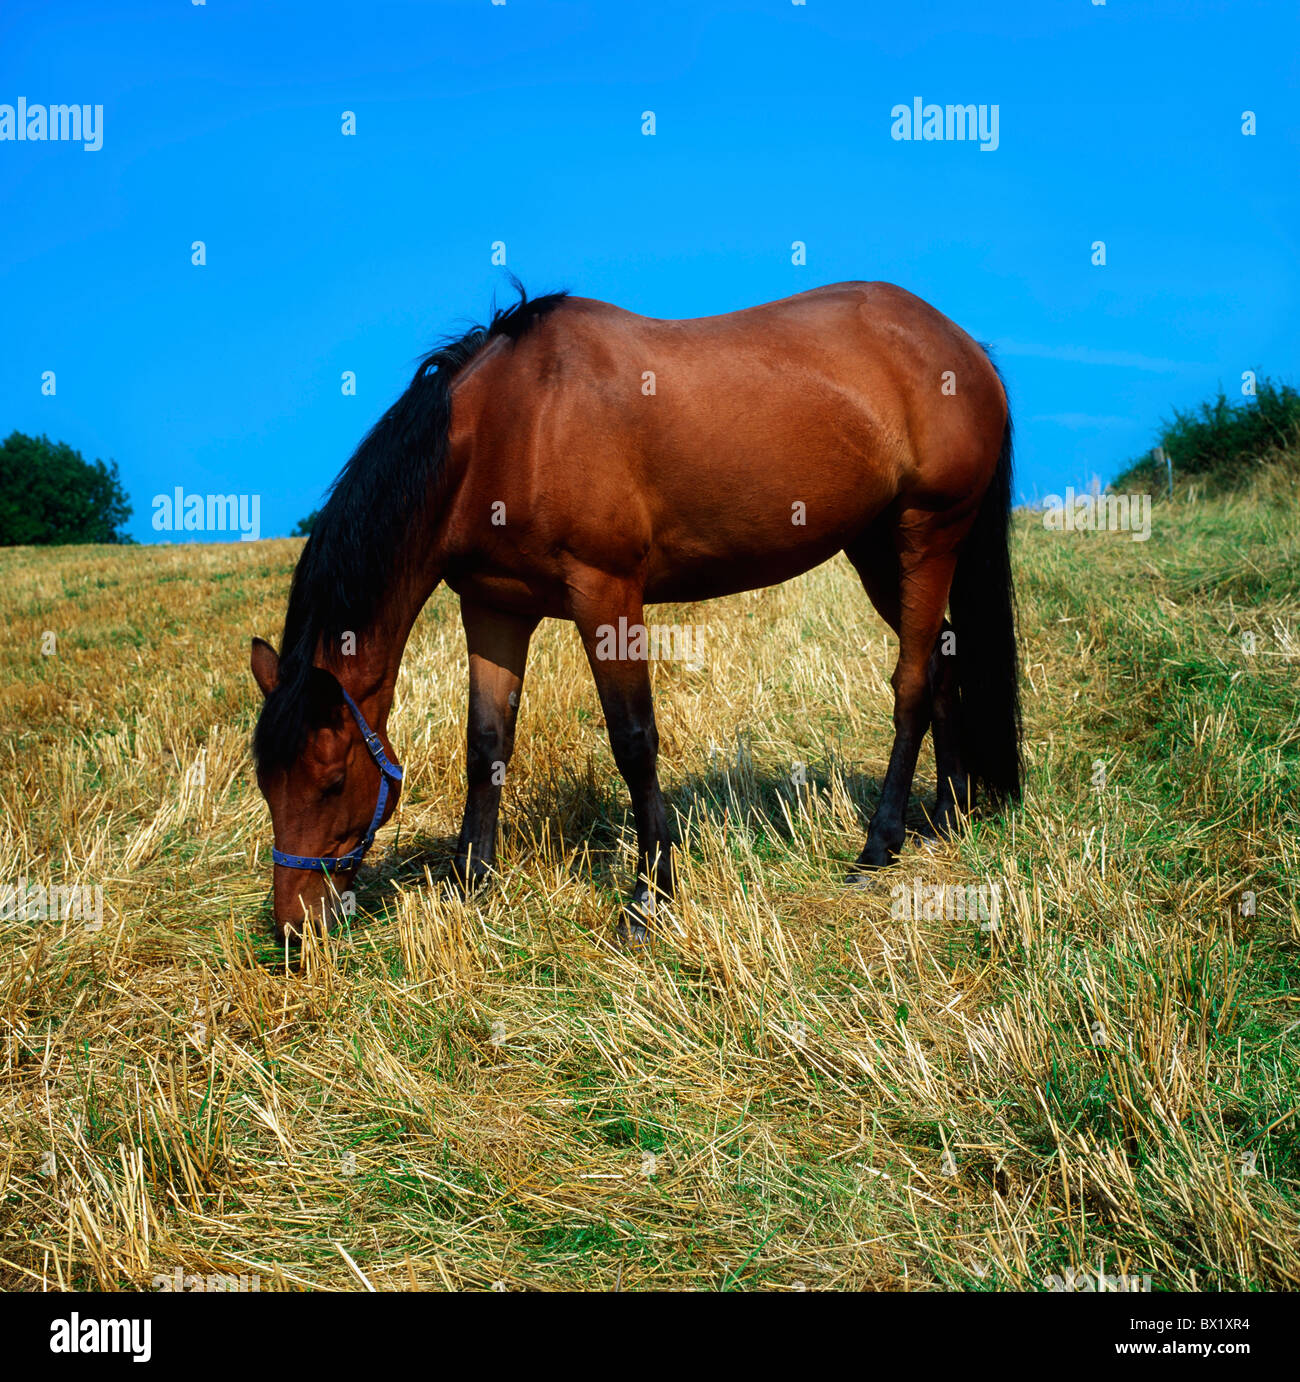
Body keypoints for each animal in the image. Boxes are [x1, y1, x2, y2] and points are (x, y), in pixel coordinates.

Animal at [250, 280, 1021, 943]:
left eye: (331, 780)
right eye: (264, 783)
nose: (295, 925)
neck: (512, 426)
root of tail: (962, 346)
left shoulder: (607, 591)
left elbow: (632, 739)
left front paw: (651, 896)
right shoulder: (493, 607)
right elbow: (486, 743)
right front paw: (470, 883)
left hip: (928, 534)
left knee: (912, 682)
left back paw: (879, 844)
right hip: (877, 549)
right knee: (942, 658)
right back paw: (948, 814)